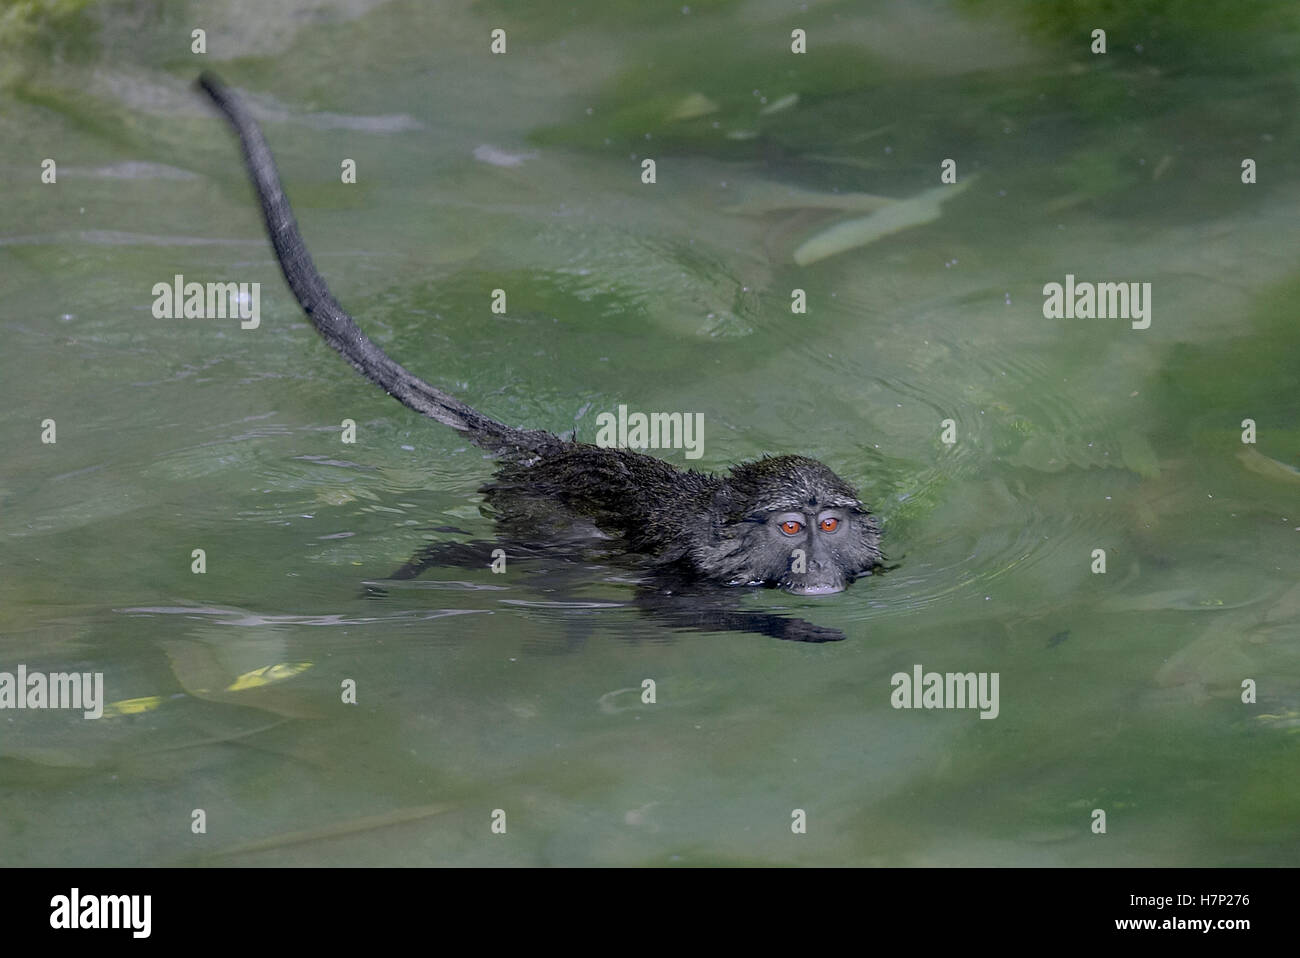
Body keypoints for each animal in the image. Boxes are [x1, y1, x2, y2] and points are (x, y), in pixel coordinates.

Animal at [196, 72, 885, 642]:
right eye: (792, 529)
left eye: (829, 526)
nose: (817, 564)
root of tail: (553, 452)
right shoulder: (686, 564)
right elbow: (665, 611)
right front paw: (788, 625)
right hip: (534, 519)